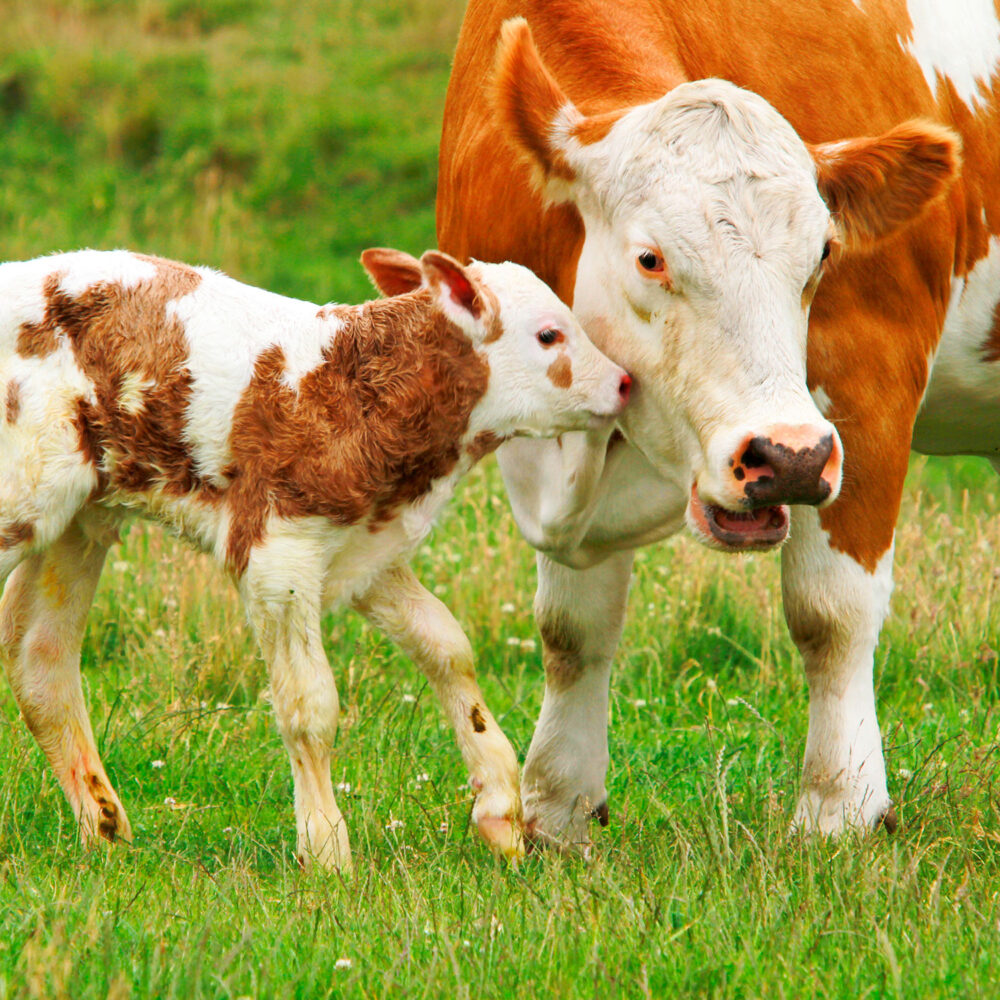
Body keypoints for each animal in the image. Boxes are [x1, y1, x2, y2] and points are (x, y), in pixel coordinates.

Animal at [0, 246, 630, 869]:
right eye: (548, 334)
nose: (624, 382)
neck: (356, 390)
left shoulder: (365, 546)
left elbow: (447, 647)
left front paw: (499, 807)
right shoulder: (278, 555)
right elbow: (310, 705)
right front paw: (326, 849)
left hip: (78, 517)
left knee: (40, 659)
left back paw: (105, 830)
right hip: (23, 500)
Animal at [436, 0, 991, 850]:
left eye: (823, 253)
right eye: (651, 259)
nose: (786, 460)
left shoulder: (867, 383)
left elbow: (831, 612)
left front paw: (839, 808)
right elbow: (571, 627)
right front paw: (558, 808)